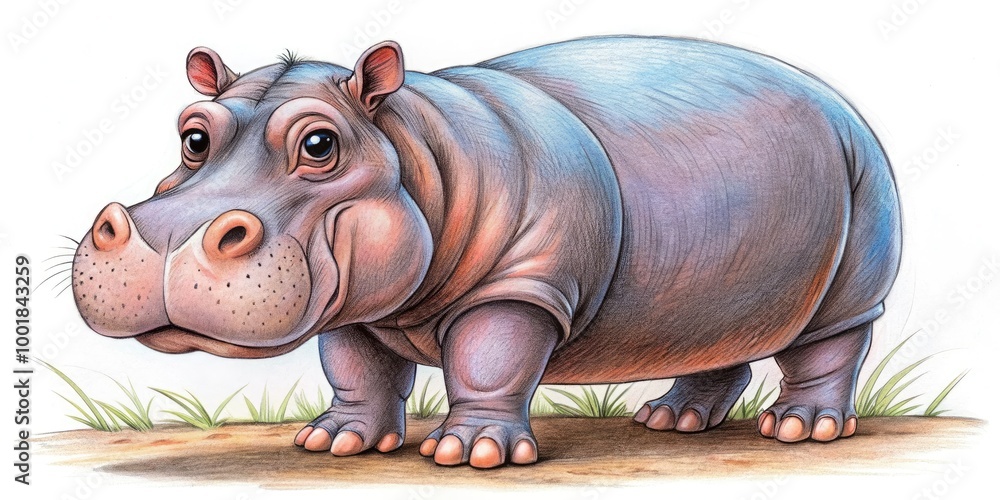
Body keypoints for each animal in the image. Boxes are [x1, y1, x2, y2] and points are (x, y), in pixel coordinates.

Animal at [72, 36, 901, 468]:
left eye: (319, 145)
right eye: (193, 135)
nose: (163, 236)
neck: (413, 143)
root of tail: (844, 105)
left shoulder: (523, 282)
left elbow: (489, 357)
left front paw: (465, 455)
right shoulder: (359, 303)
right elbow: (355, 367)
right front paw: (334, 443)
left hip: (857, 258)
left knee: (830, 346)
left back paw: (799, 429)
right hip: (715, 286)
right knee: (717, 344)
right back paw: (669, 422)